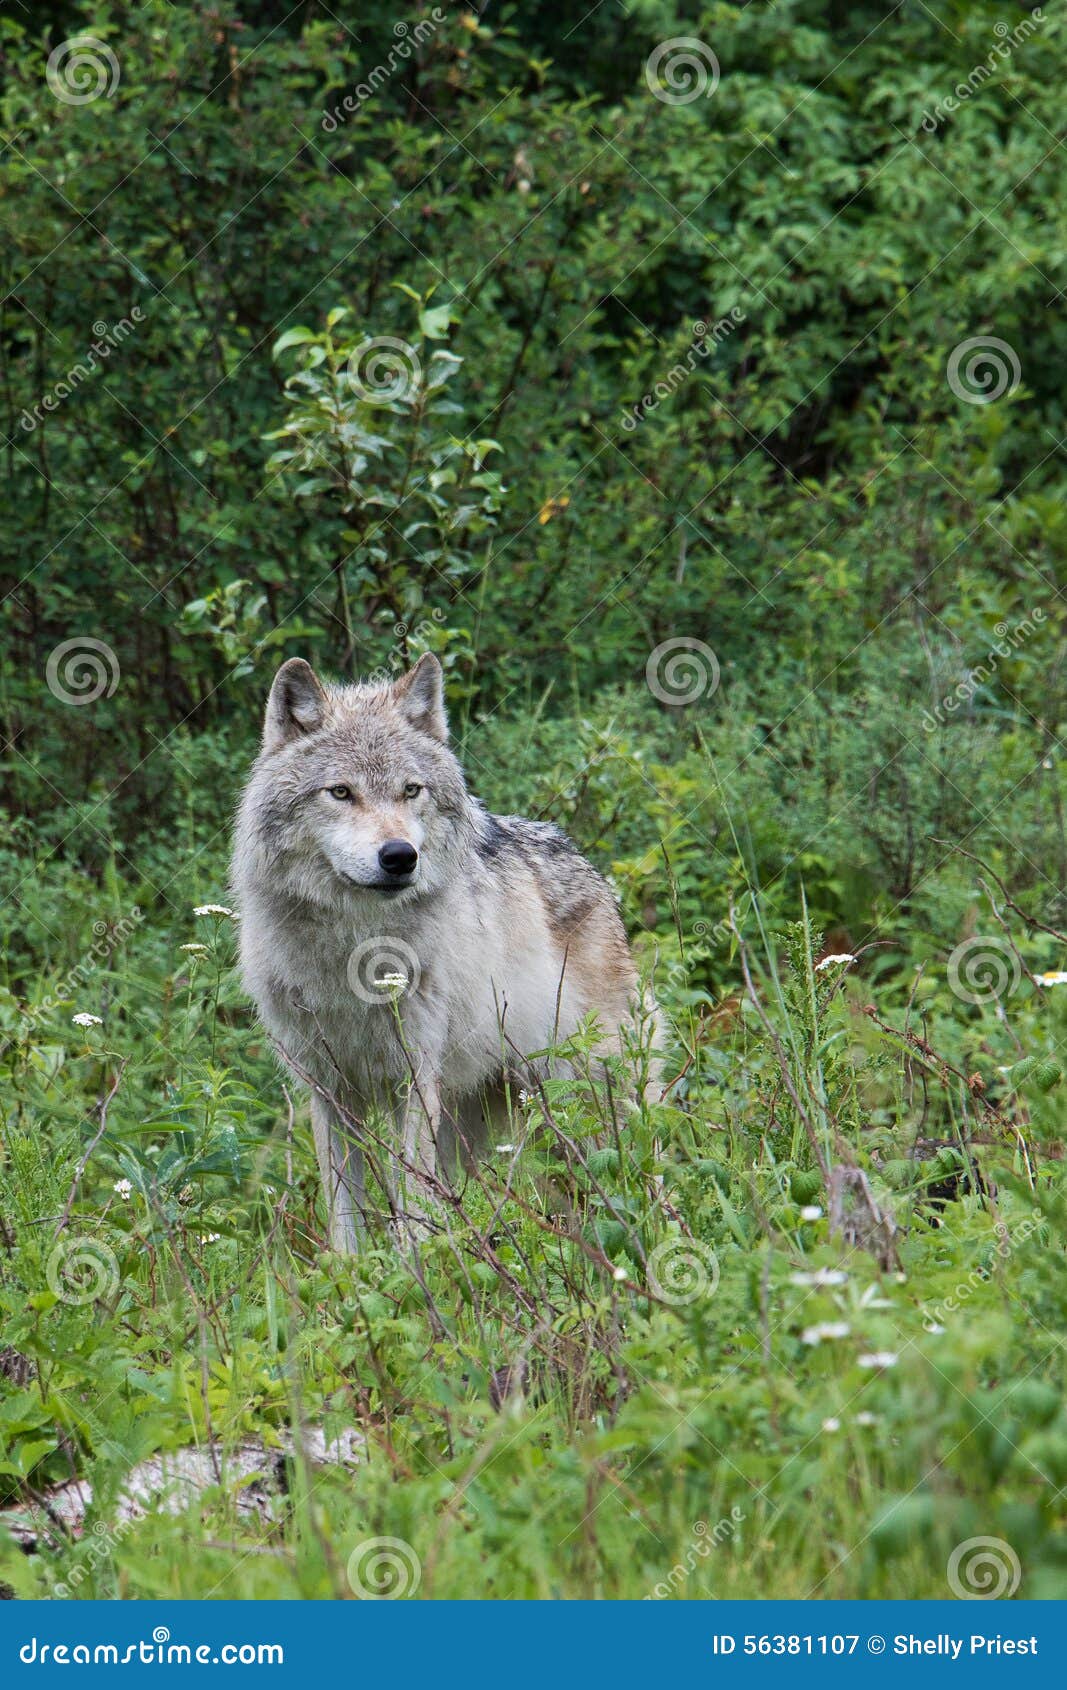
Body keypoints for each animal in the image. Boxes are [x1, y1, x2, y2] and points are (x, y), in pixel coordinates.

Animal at [231, 653, 651, 1251]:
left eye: (411, 790)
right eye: (340, 792)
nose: (399, 856)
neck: (356, 948)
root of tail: (593, 870)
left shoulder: (415, 1078)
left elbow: (411, 1201)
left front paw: (413, 1269)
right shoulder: (328, 1089)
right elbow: (344, 1211)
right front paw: (352, 1273)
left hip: (582, 1097)